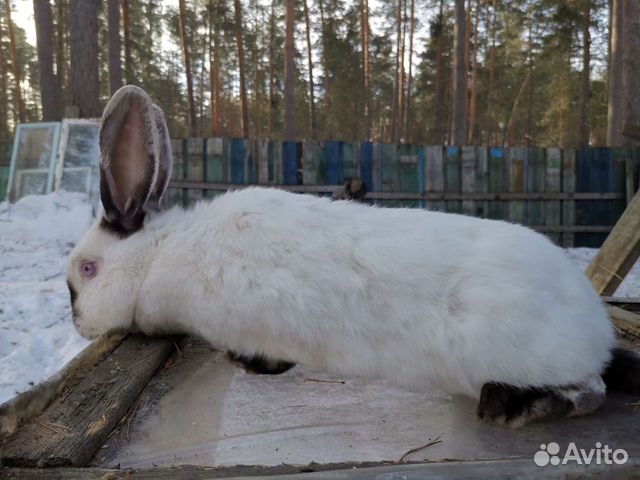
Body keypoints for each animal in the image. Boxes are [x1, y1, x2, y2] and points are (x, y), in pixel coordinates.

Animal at [67, 85, 640, 427]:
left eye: (86, 271)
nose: (76, 320)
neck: (159, 255)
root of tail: (597, 328)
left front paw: (252, 365)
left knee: (592, 389)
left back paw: (511, 406)